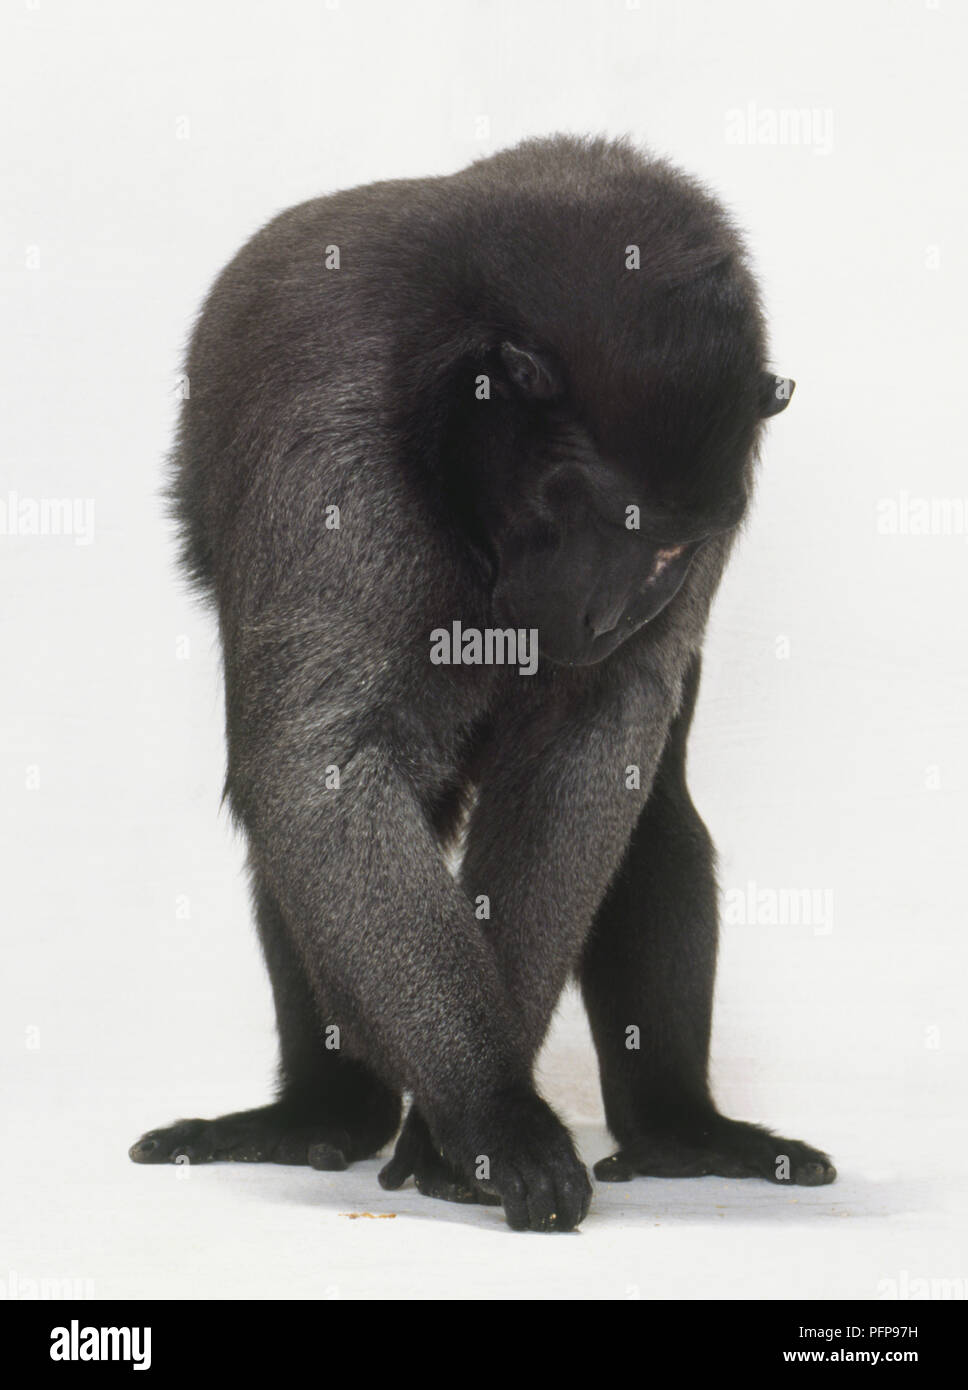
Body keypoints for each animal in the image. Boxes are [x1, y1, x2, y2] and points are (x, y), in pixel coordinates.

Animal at [129, 135, 835, 1231]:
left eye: (668, 546)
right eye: (581, 507)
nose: (603, 615)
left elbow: (589, 759)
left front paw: (457, 1131)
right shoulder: (333, 446)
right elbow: (316, 776)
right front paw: (493, 1108)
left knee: (653, 802)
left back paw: (679, 1130)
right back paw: (324, 1113)